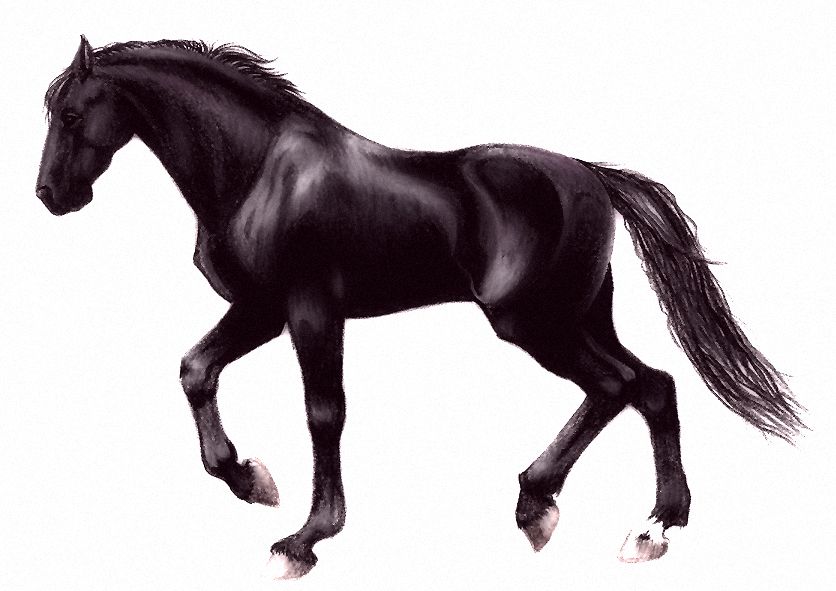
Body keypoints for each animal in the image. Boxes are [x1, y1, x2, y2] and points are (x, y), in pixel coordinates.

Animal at [36, 36, 804, 579]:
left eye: (72, 112)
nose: (50, 195)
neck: (256, 173)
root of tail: (593, 176)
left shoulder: (310, 311)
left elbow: (324, 412)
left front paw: (304, 539)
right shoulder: (260, 310)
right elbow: (197, 370)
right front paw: (250, 479)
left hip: (535, 324)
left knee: (617, 386)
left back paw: (545, 503)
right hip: (579, 316)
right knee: (652, 387)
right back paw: (647, 527)